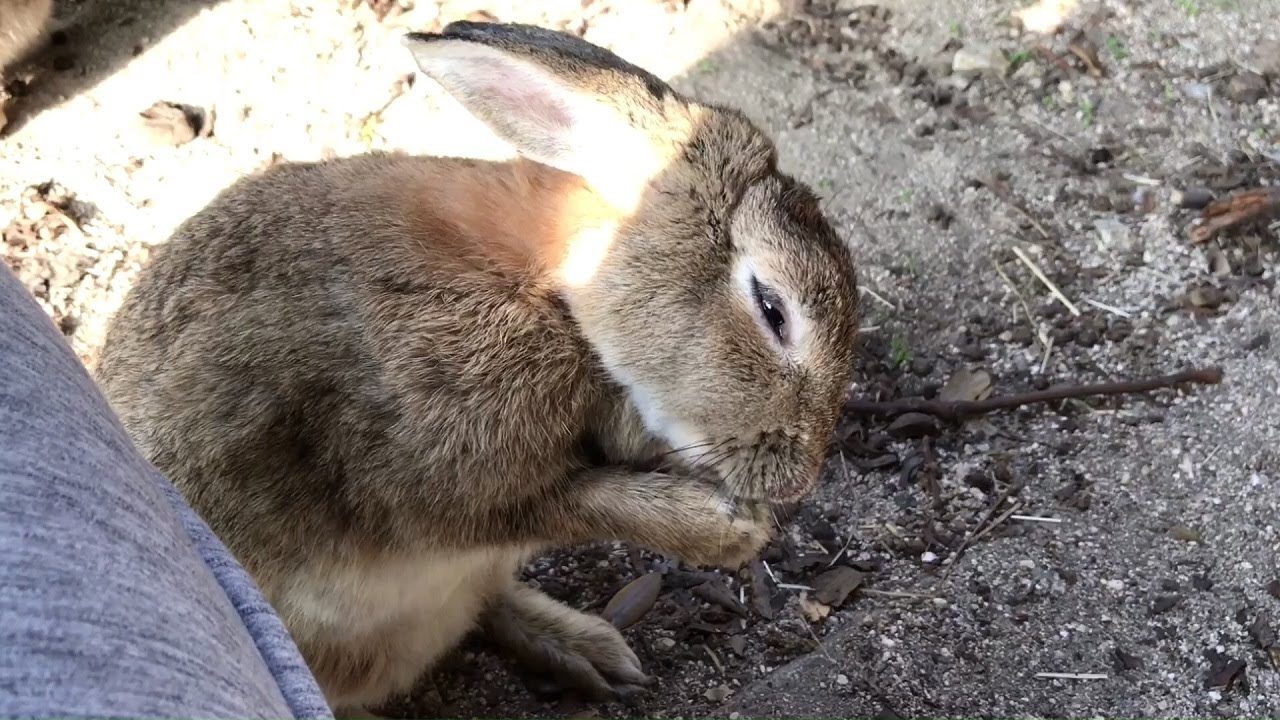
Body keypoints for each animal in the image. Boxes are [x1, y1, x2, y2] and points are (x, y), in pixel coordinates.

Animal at [93, 20, 861, 718]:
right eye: (772, 307)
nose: (798, 480)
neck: (559, 285)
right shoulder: (448, 481)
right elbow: (574, 503)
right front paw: (728, 533)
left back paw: (591, 652)